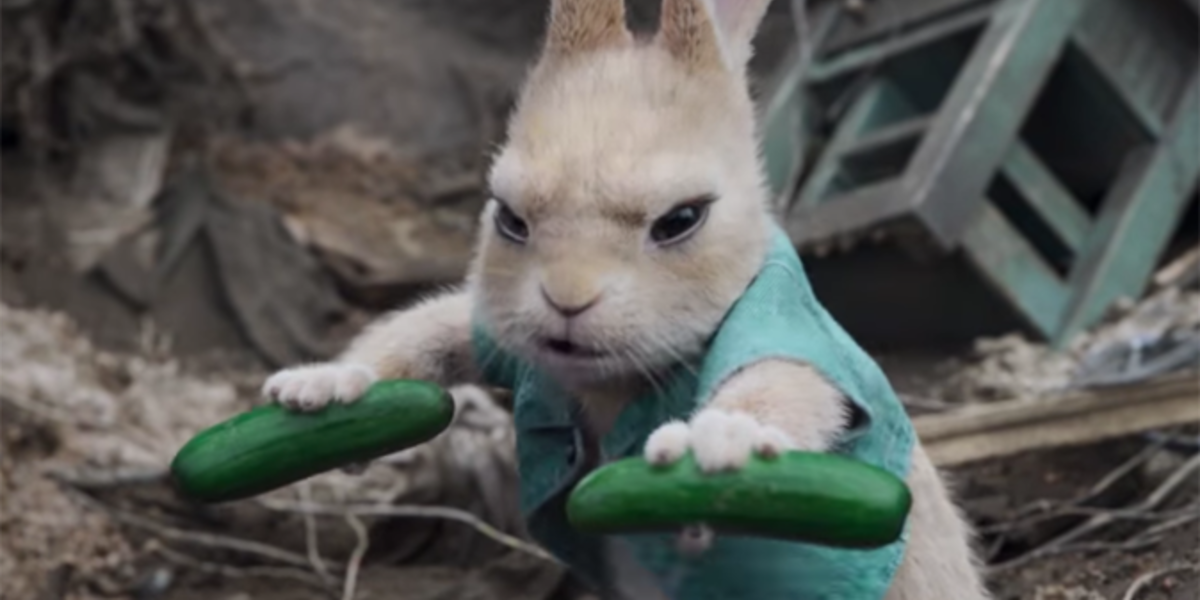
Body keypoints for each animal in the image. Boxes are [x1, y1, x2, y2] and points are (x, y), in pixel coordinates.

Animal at [262, 0, 992, 598]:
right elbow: (422, 331)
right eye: (509, 217)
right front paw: (319, 388)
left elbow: (784, 385)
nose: (567, 301)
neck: (611, 385)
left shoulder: (783, 333)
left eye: (682, 219)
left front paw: (712, 442)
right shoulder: (496, 333)